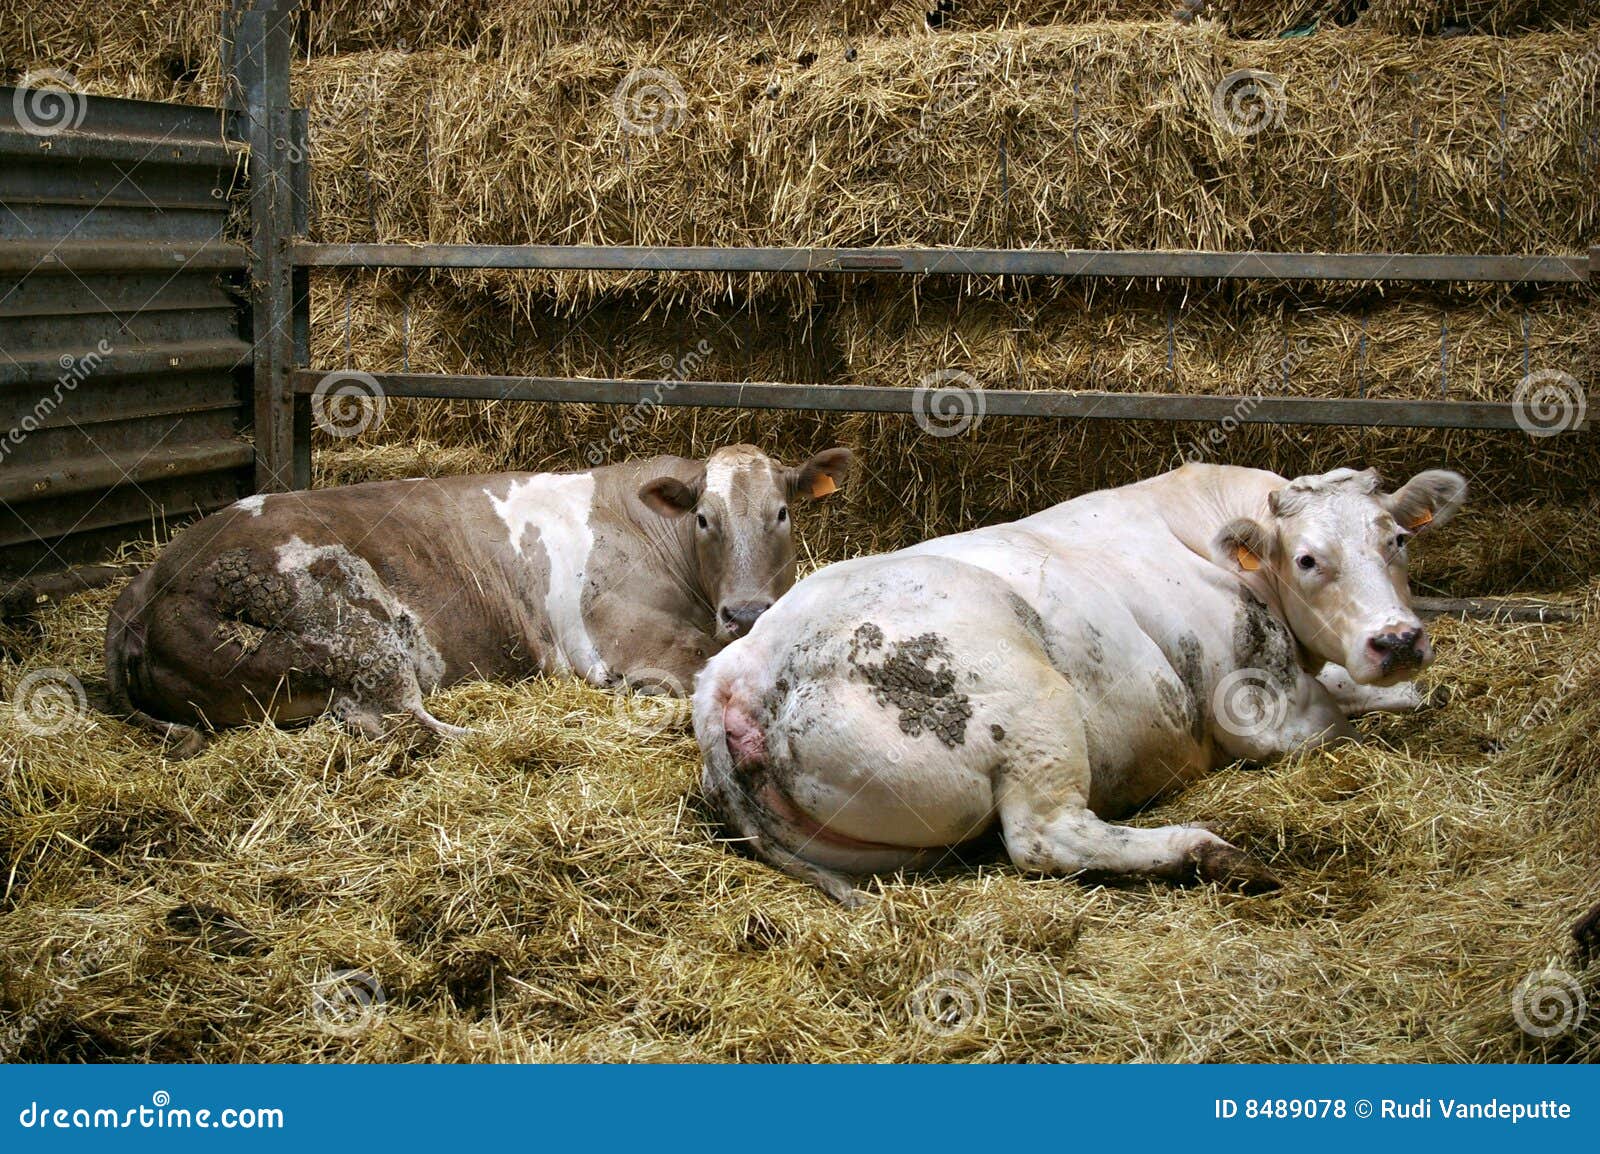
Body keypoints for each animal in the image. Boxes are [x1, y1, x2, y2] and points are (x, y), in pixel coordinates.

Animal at [106, 444, 852, 753]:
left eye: (782, 512)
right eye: (703, 518)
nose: (746, 612)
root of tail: (147, 581)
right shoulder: (632, 643)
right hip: (350, 624)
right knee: (394, 719)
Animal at [693, 463, 1466, 905]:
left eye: (1397, 539)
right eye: (1307, 559)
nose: (1398, 640)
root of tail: (735, 670)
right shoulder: (1262, 712)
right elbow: (1347, 714)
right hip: (1032, 710)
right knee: (1047, 838)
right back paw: (1211, 853)